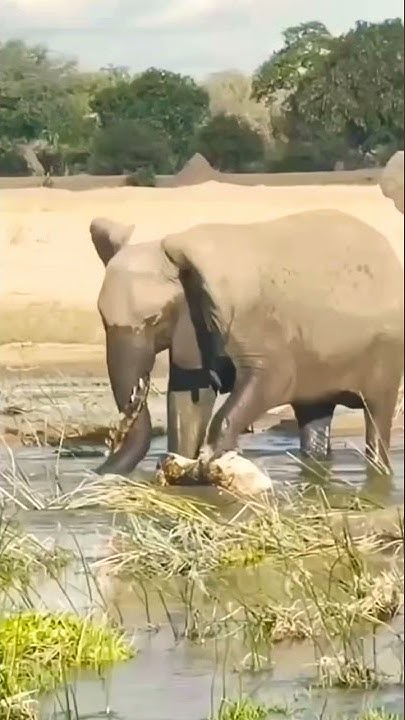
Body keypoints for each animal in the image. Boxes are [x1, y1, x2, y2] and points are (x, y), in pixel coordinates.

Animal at [91, 204, 403, 476]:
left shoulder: (250, 320)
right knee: (314, 414)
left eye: (155, 320)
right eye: (102, 320)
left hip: (386, 349)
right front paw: (181, 465)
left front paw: (211, 461)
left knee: (377, 414)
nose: (99, 467)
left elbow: (275, 378)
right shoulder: (193, 323)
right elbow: (188, 399)